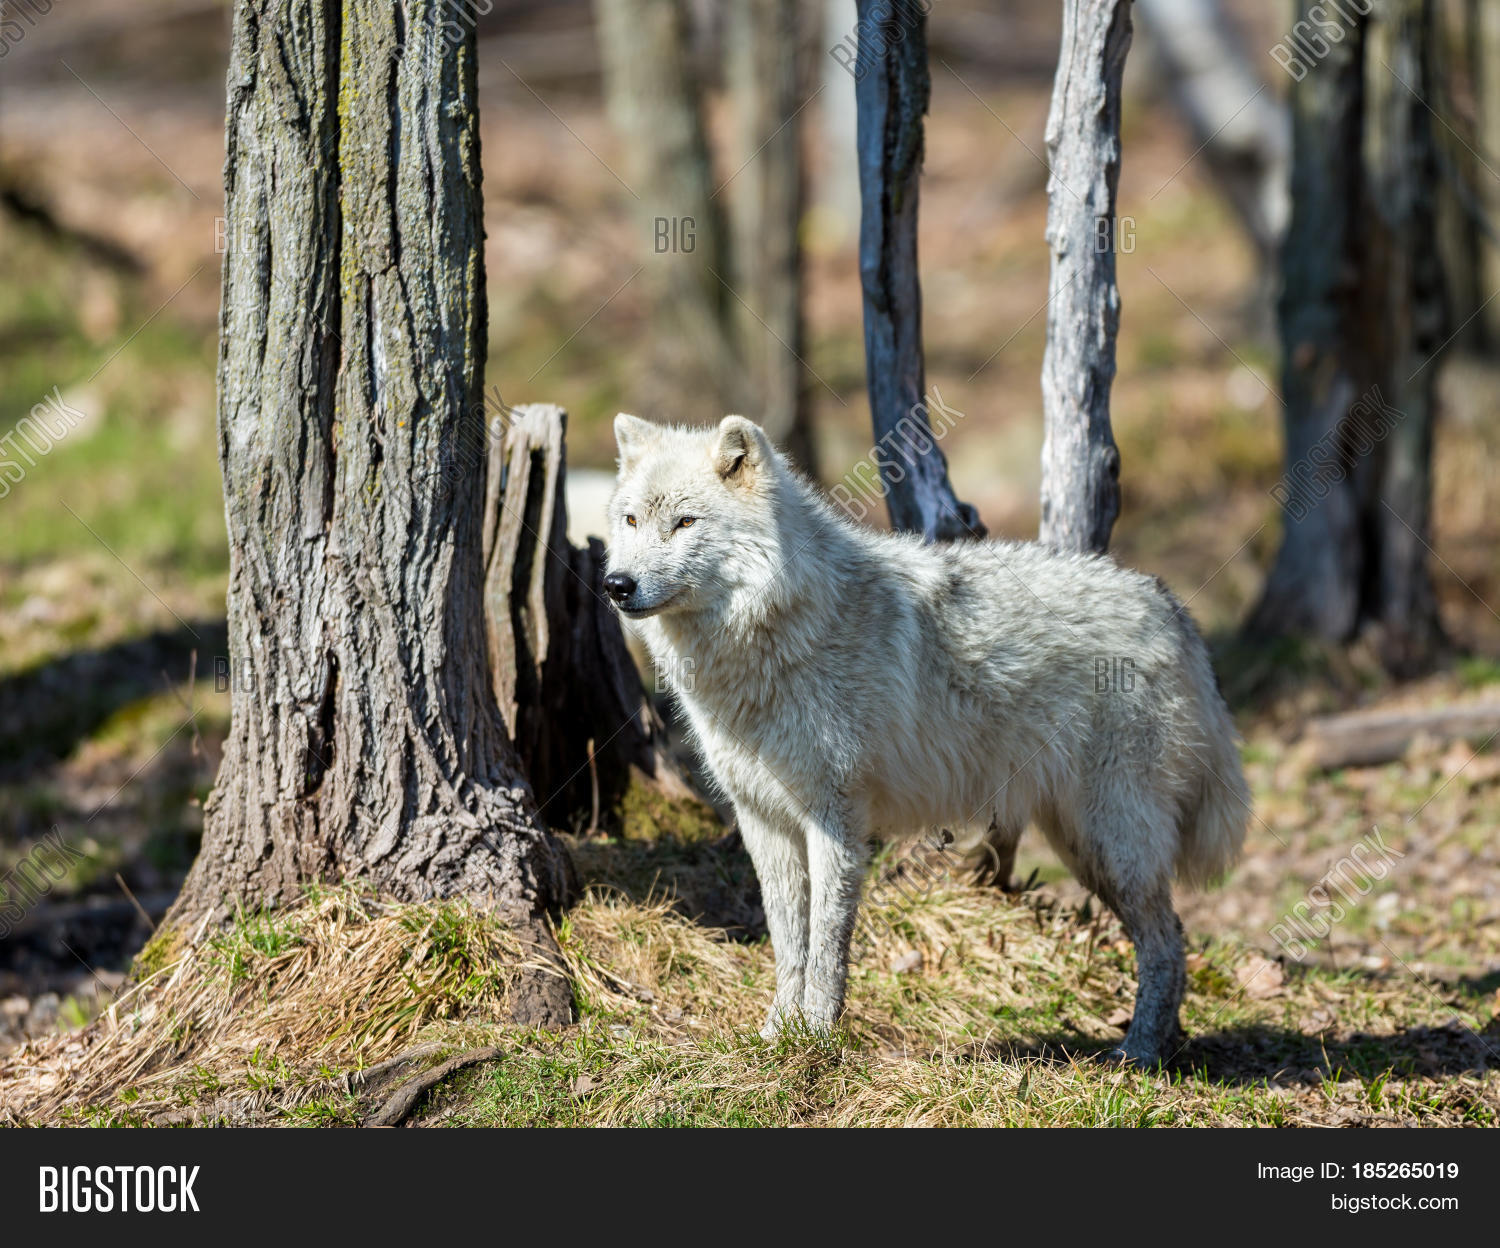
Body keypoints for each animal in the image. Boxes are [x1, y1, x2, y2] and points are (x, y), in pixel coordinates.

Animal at [603, 413, 1248, 1064]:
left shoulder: (835, 820)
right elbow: (788, 943)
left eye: (685, 523)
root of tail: (1170, 606)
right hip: (1082, 844)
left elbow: (826, 947)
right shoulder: (763, 821)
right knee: (1172, 939)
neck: (776, 634)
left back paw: (1138, 1055)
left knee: (1168, 942)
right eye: (630, 521)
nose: (615, 584)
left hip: (1112, 844)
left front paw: (816, 1041)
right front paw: (775, 1037)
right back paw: (1161, 1047)